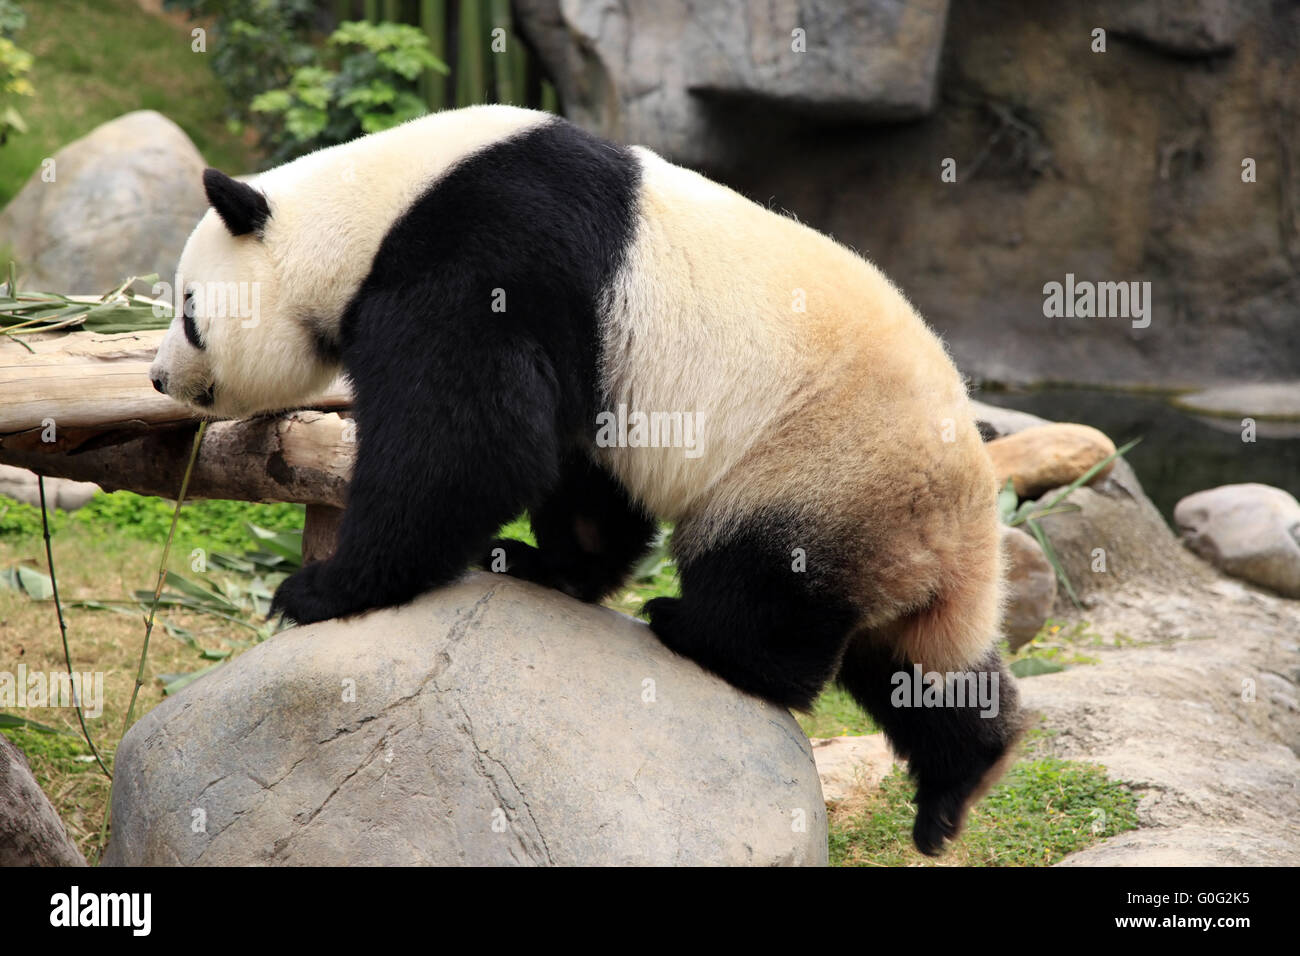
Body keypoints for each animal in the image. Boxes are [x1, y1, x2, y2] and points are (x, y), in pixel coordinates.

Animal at [149, 104, 1022, 856]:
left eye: (189, 312)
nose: (160, 377)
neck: (371, 206)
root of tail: (966, 516)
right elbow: (574, 468)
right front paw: (547, 566)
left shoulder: (486, 250)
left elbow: (469, 439)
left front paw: (324, 589)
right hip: (889, 538)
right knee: (915, 666)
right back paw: (960, 783)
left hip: (819, 467)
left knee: (770, 590)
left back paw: (698, 633)